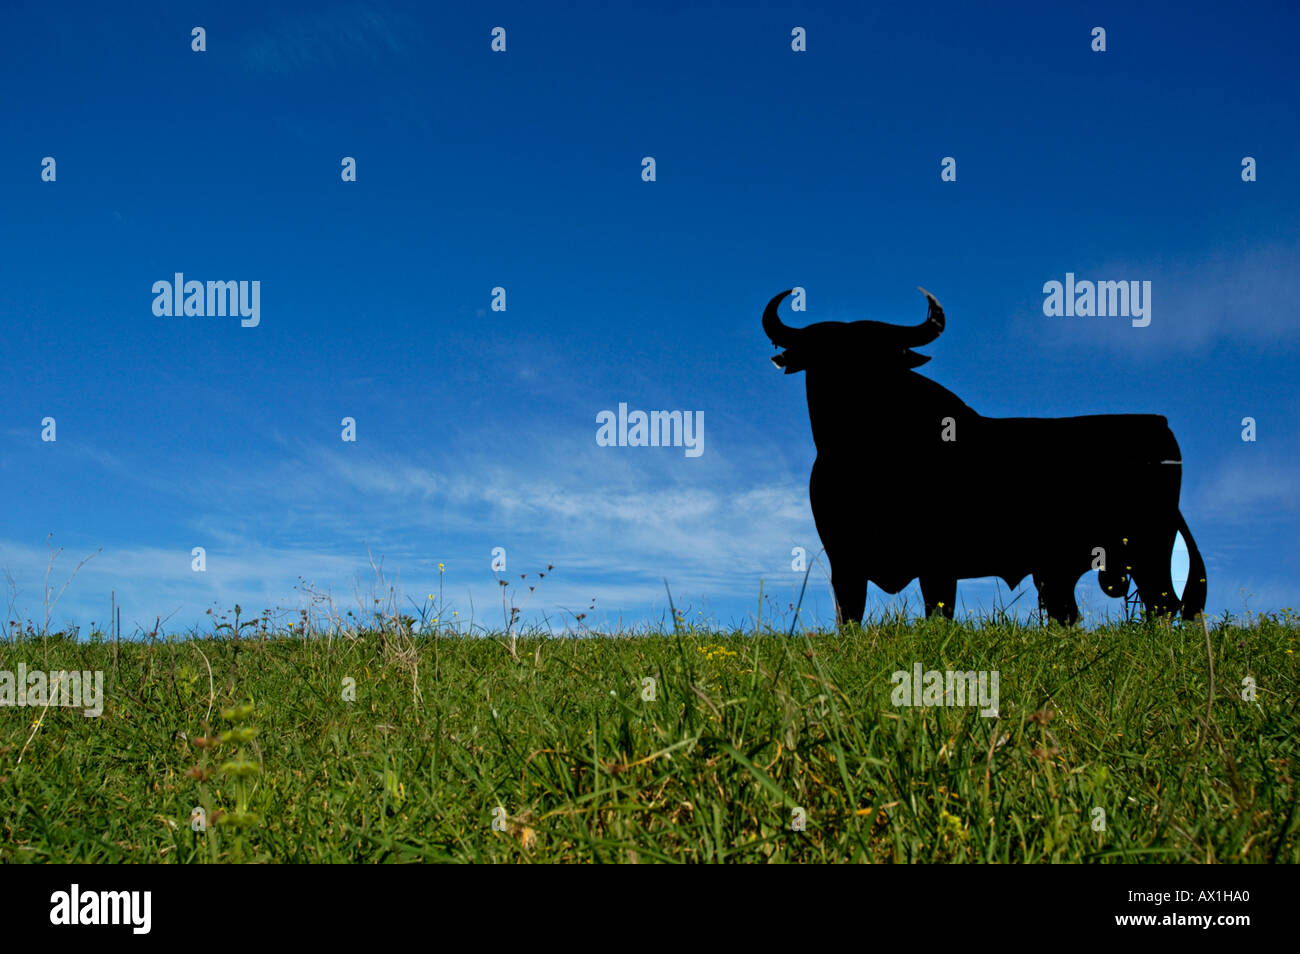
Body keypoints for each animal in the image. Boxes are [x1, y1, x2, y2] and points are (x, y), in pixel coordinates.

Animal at [762, 287, 1207, 626]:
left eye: (882, 359)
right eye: (823, 358)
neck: (867, 460)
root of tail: (1158, 424)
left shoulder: (938, 563)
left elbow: (937, 614)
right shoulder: (845, 562)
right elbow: (850, 617)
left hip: (1149, 548)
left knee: (1162, 603)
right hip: (1071, 566)